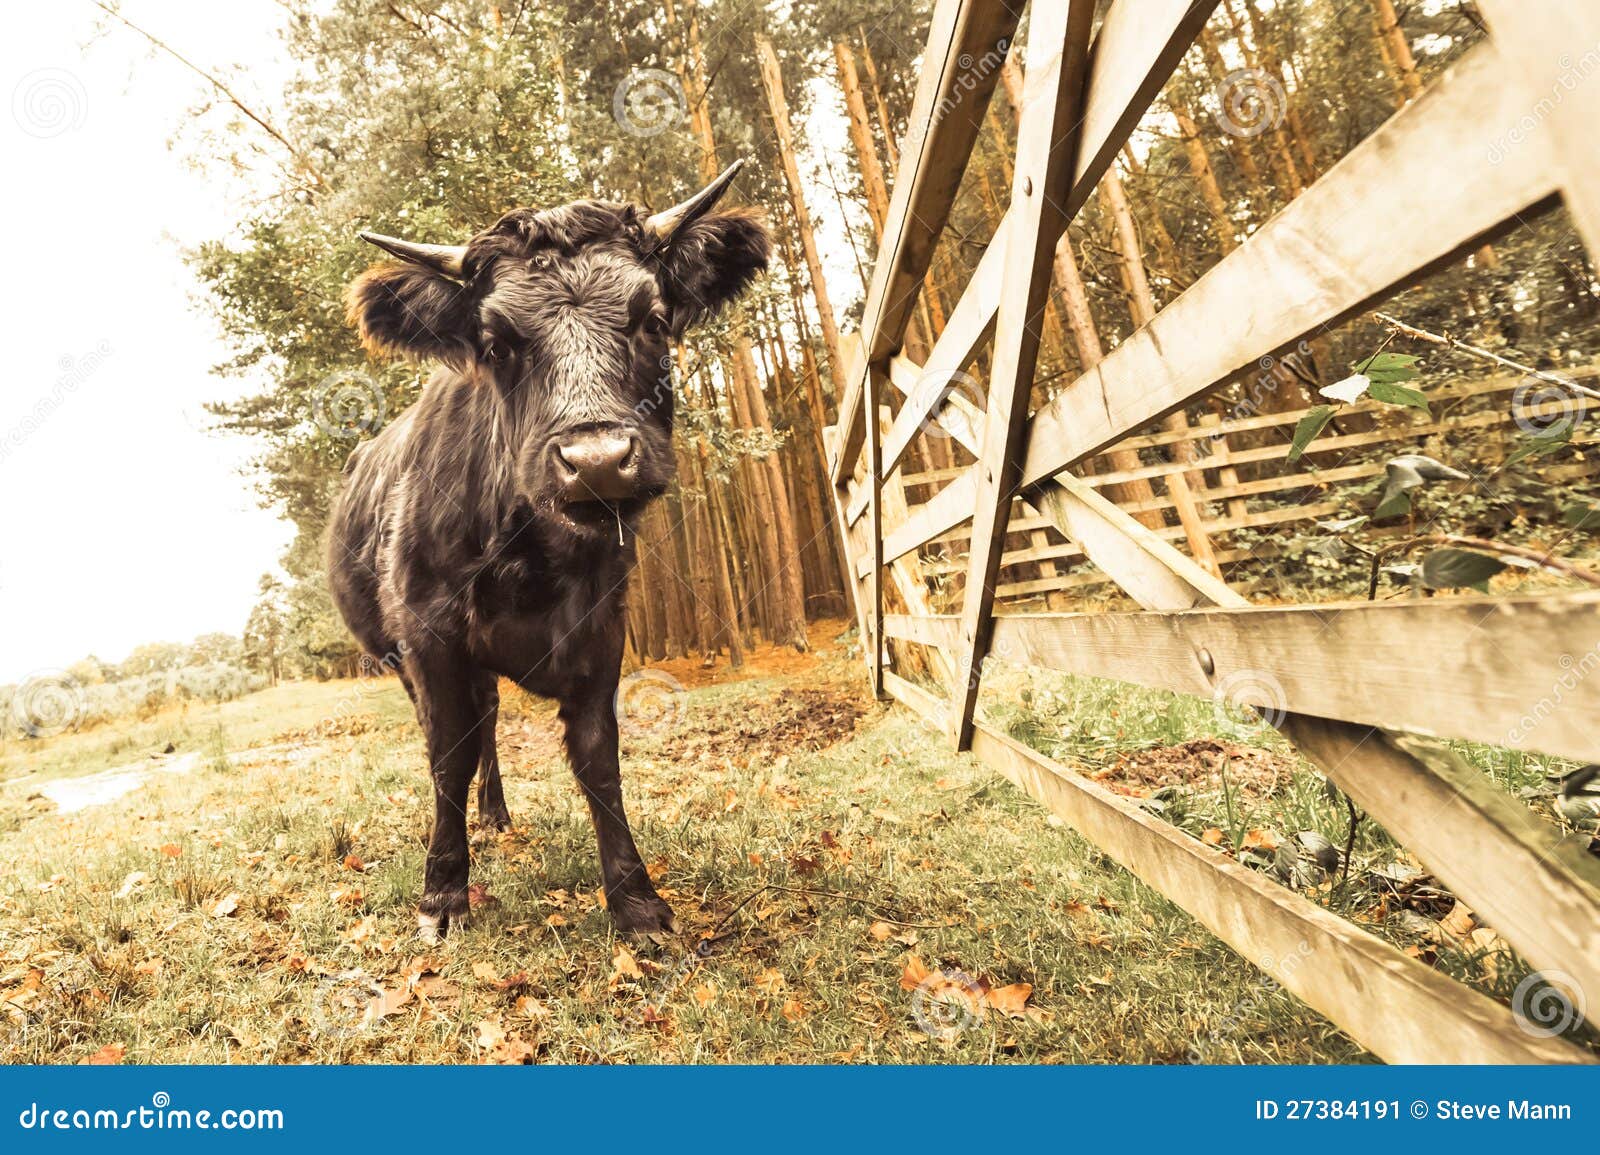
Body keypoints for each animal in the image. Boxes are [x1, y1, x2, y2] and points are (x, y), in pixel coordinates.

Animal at [328, 162, 770, 939]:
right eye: (497, 341)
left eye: (654, 319)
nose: (596, 461)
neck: (534, 560)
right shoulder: (429, 637)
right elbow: (447, 755)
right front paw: (442, 894)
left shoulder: (602, 629)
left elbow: (597, 756)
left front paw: (636, 900)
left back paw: (497, 814)